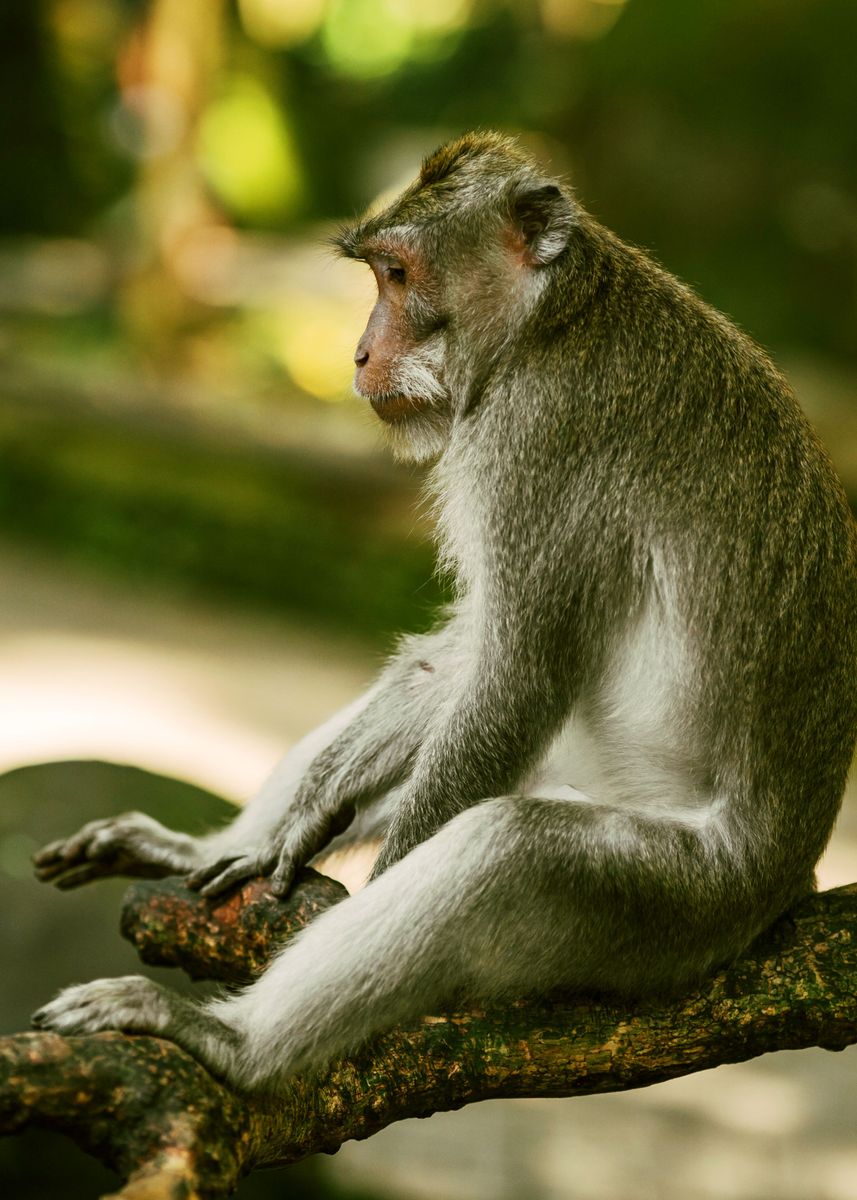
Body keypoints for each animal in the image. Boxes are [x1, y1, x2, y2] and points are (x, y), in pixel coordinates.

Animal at [31, 131, 857, 1094]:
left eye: (396, 274)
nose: (356, 354)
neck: (553, 320)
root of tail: (790, 878)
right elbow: (464, 653)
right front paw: (308, 806)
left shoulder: (535, 439)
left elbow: (515, 676)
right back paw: (210, 847)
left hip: (688, 900)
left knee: (509, 845)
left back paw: (233, 1044)